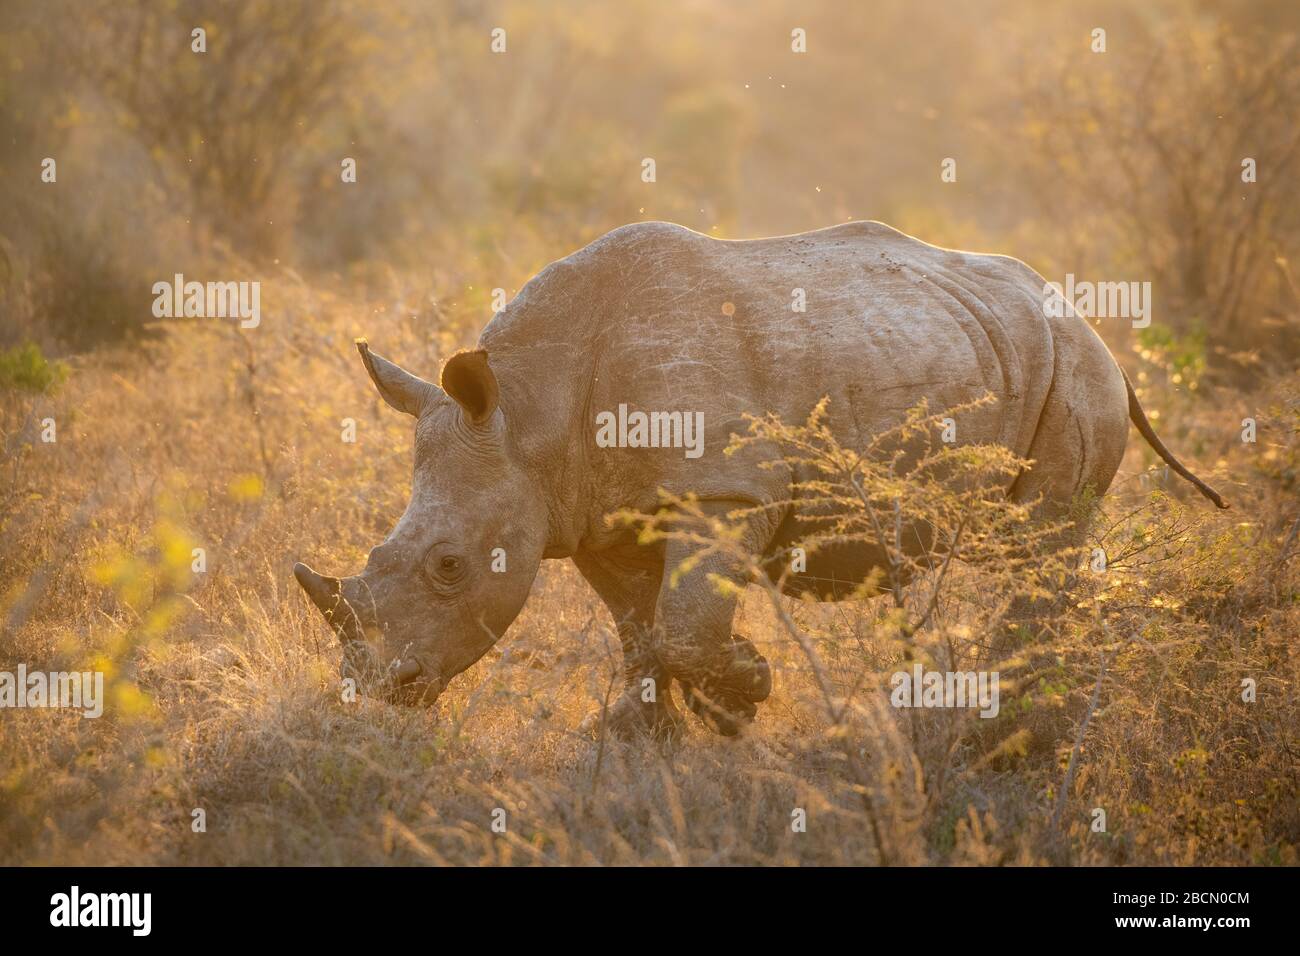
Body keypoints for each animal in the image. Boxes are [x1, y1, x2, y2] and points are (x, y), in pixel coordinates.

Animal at [294, 220, 1227, 738]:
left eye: (450, 567)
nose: (386, 691)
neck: (526, 413)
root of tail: (1084, 315)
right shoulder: (585, 510)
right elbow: (638, 628)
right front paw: (639, 735)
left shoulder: (723, 490)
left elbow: (682, 627)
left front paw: (745, 697)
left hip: (1073, 368)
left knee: (1038, 545)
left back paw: (1005, 718)